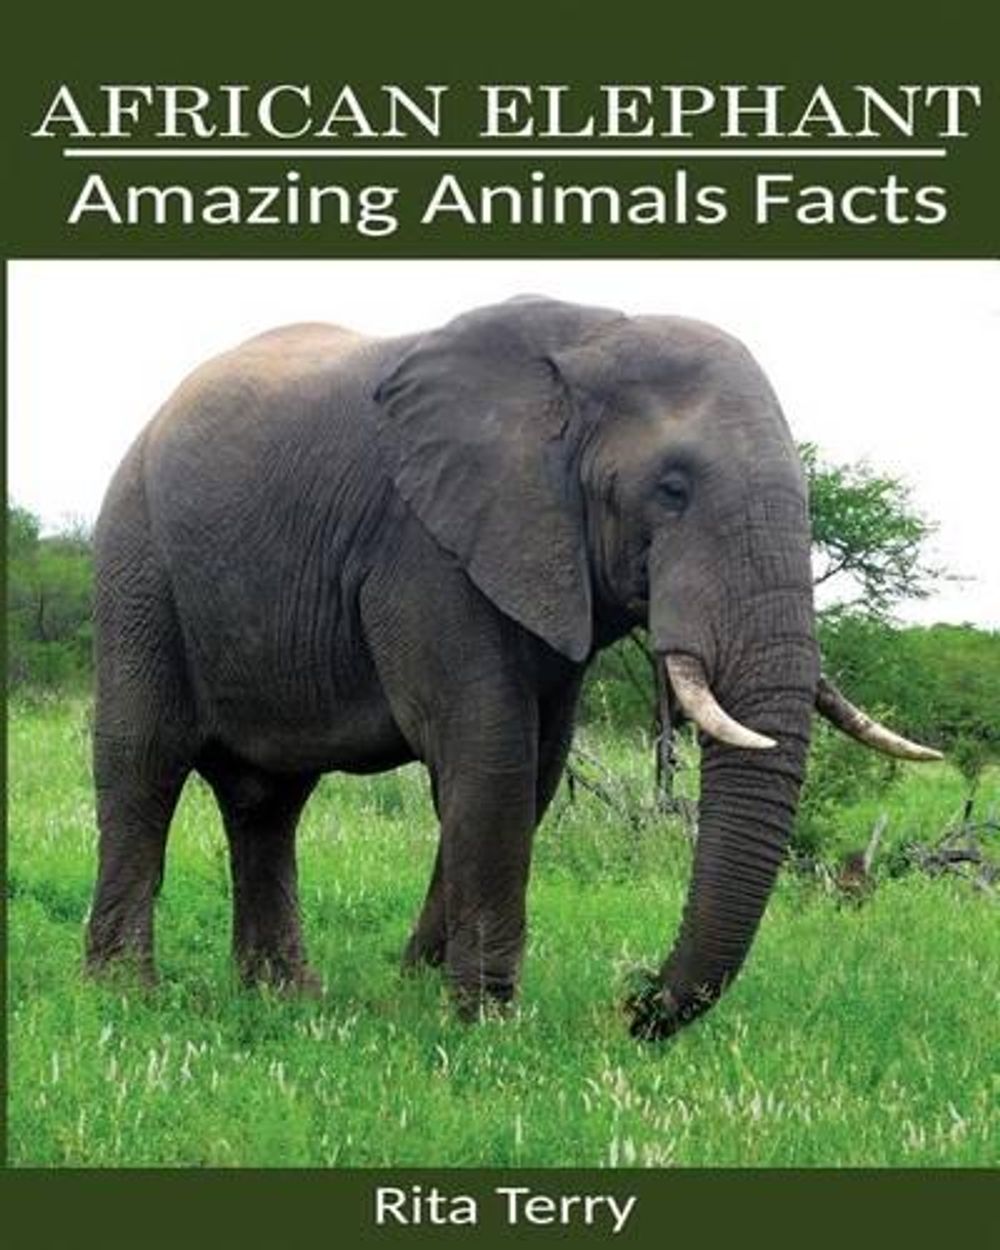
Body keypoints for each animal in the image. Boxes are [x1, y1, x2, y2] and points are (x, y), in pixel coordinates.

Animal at [86, 295, 940, 1039]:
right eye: (671, 490)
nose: (633, 1000)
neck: (587, 347)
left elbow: (533, 771)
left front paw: (418, 991)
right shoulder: (426, 546)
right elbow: (489, 752)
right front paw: (485, 1025)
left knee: (268, 802)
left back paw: (286, 997)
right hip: (137, 560)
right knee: (143, 765)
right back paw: (126, 996)